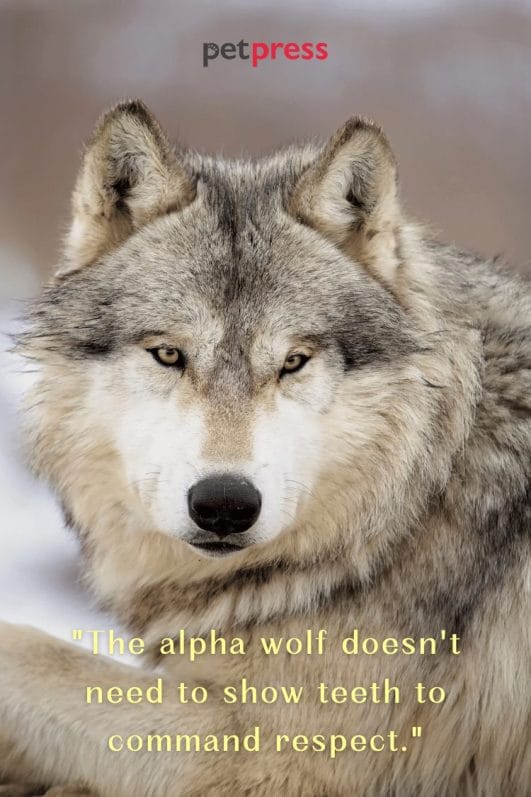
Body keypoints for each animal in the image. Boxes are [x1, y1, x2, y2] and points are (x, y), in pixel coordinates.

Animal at [0, 100, 529, 797]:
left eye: (294, 362)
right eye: (168, 354)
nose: (224, 504)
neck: (415, 510)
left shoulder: (270, 759)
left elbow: (25, 649)